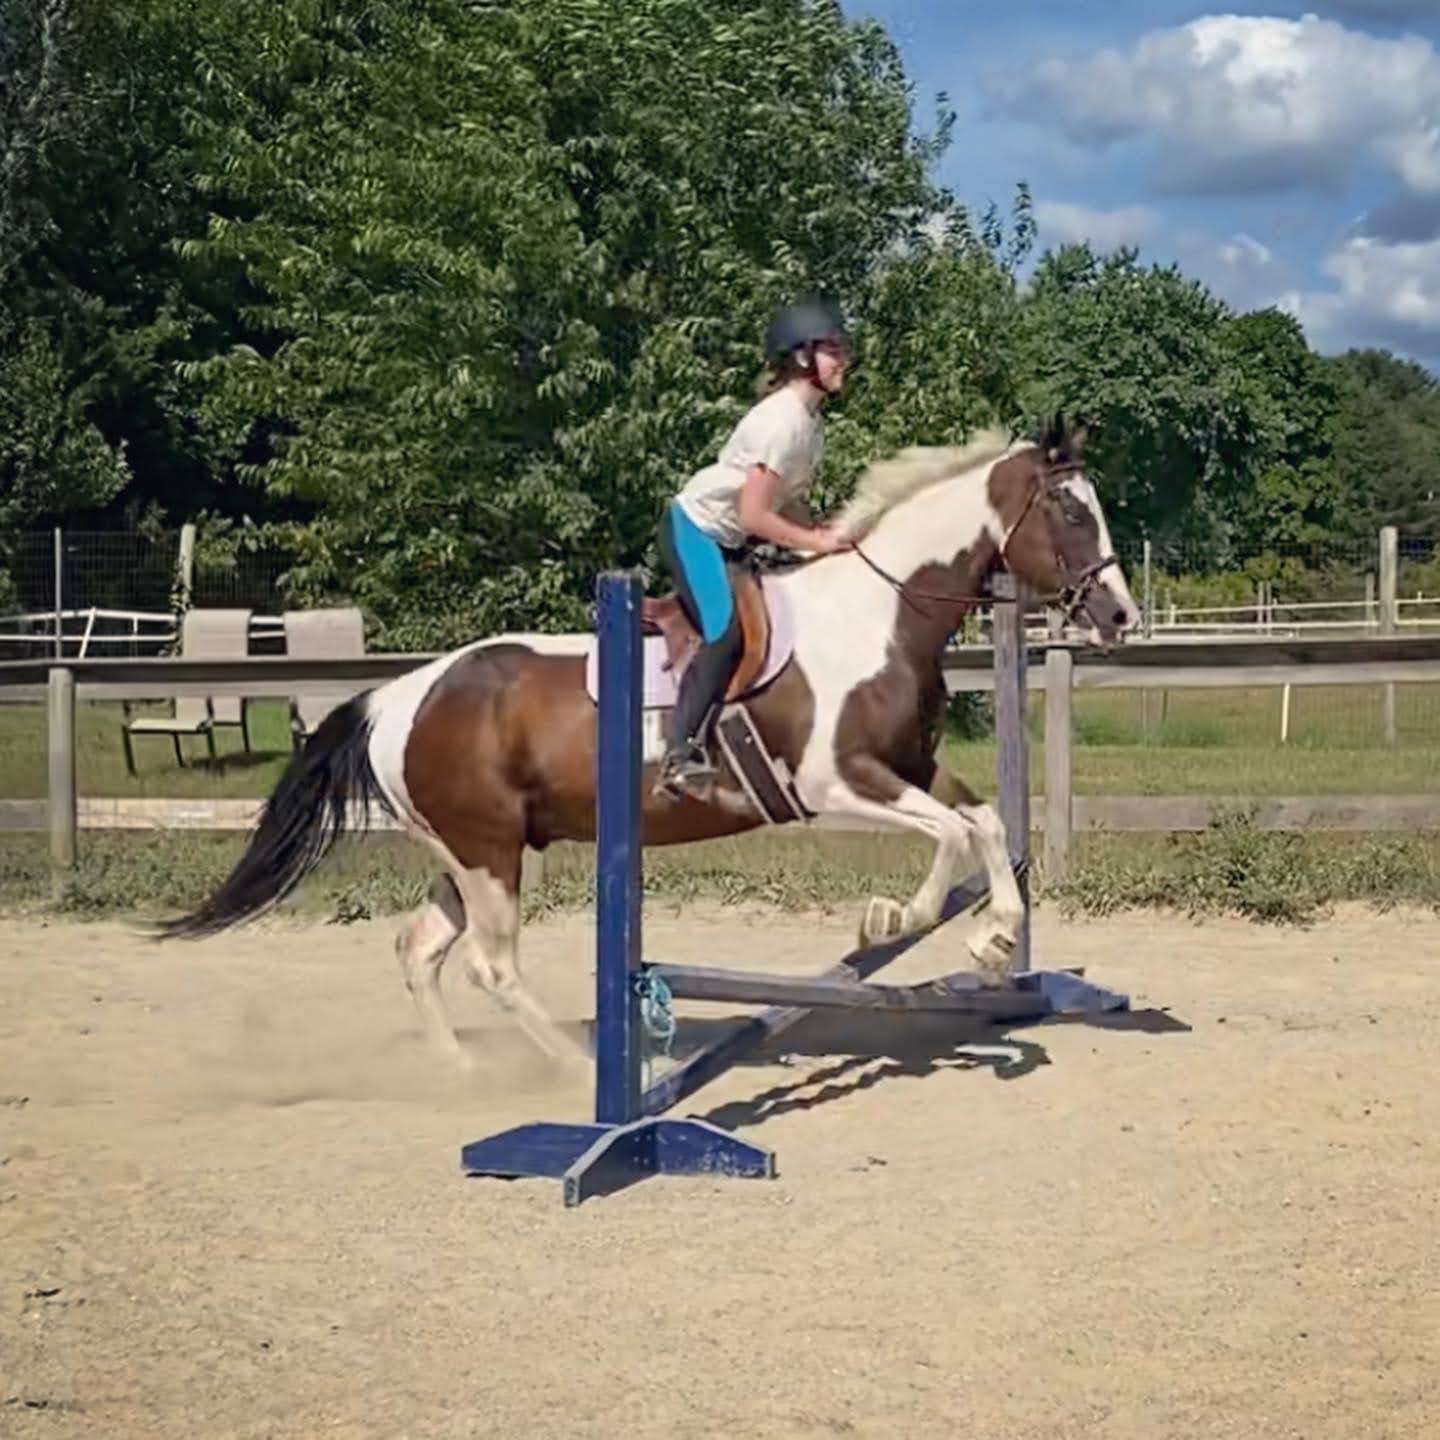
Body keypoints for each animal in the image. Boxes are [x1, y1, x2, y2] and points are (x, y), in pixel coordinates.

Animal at [159, 418, 1139, 1070]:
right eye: (1070, 511)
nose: (1120, 615)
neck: (882, 611)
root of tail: (395, 695)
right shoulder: (836, 781)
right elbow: (951, 836)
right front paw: (898, 918)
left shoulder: (906, 766)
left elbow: (986, 826)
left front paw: (990, 943)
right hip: (488, 855)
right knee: (491, 965)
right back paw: (575, 1070)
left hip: (465, 854)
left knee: (421, 949)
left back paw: (464, 1070)